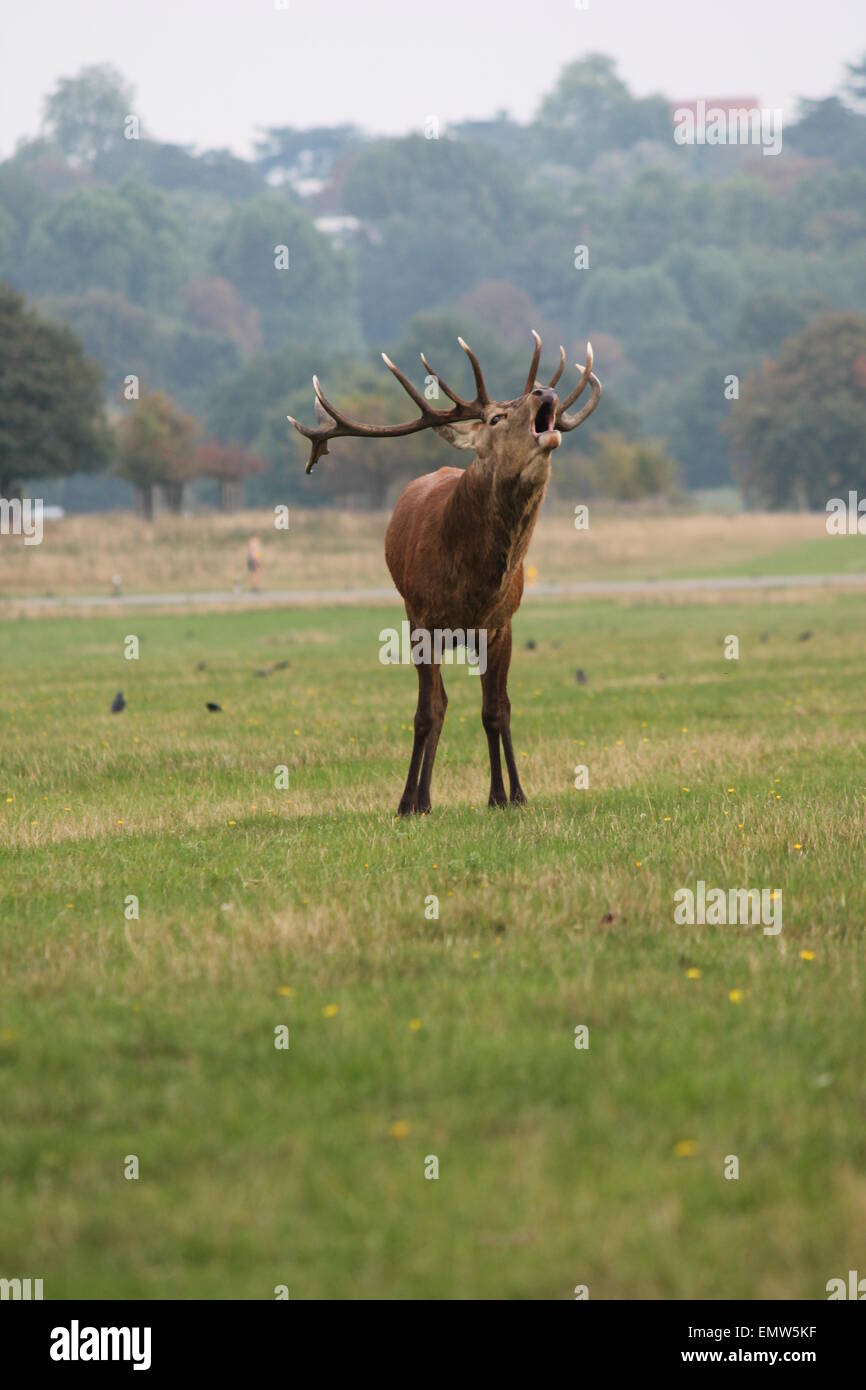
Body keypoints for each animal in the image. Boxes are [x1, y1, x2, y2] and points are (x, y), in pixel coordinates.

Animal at [288, 332, 601, 815]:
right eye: (495, 417)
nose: (544, 392)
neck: (473, 586)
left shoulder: (501, 624)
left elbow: (497, 709)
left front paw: (510, 796)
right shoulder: (422, 621)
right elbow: (428, 712)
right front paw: (412, 802)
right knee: (435, 704)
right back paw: (418, 798)